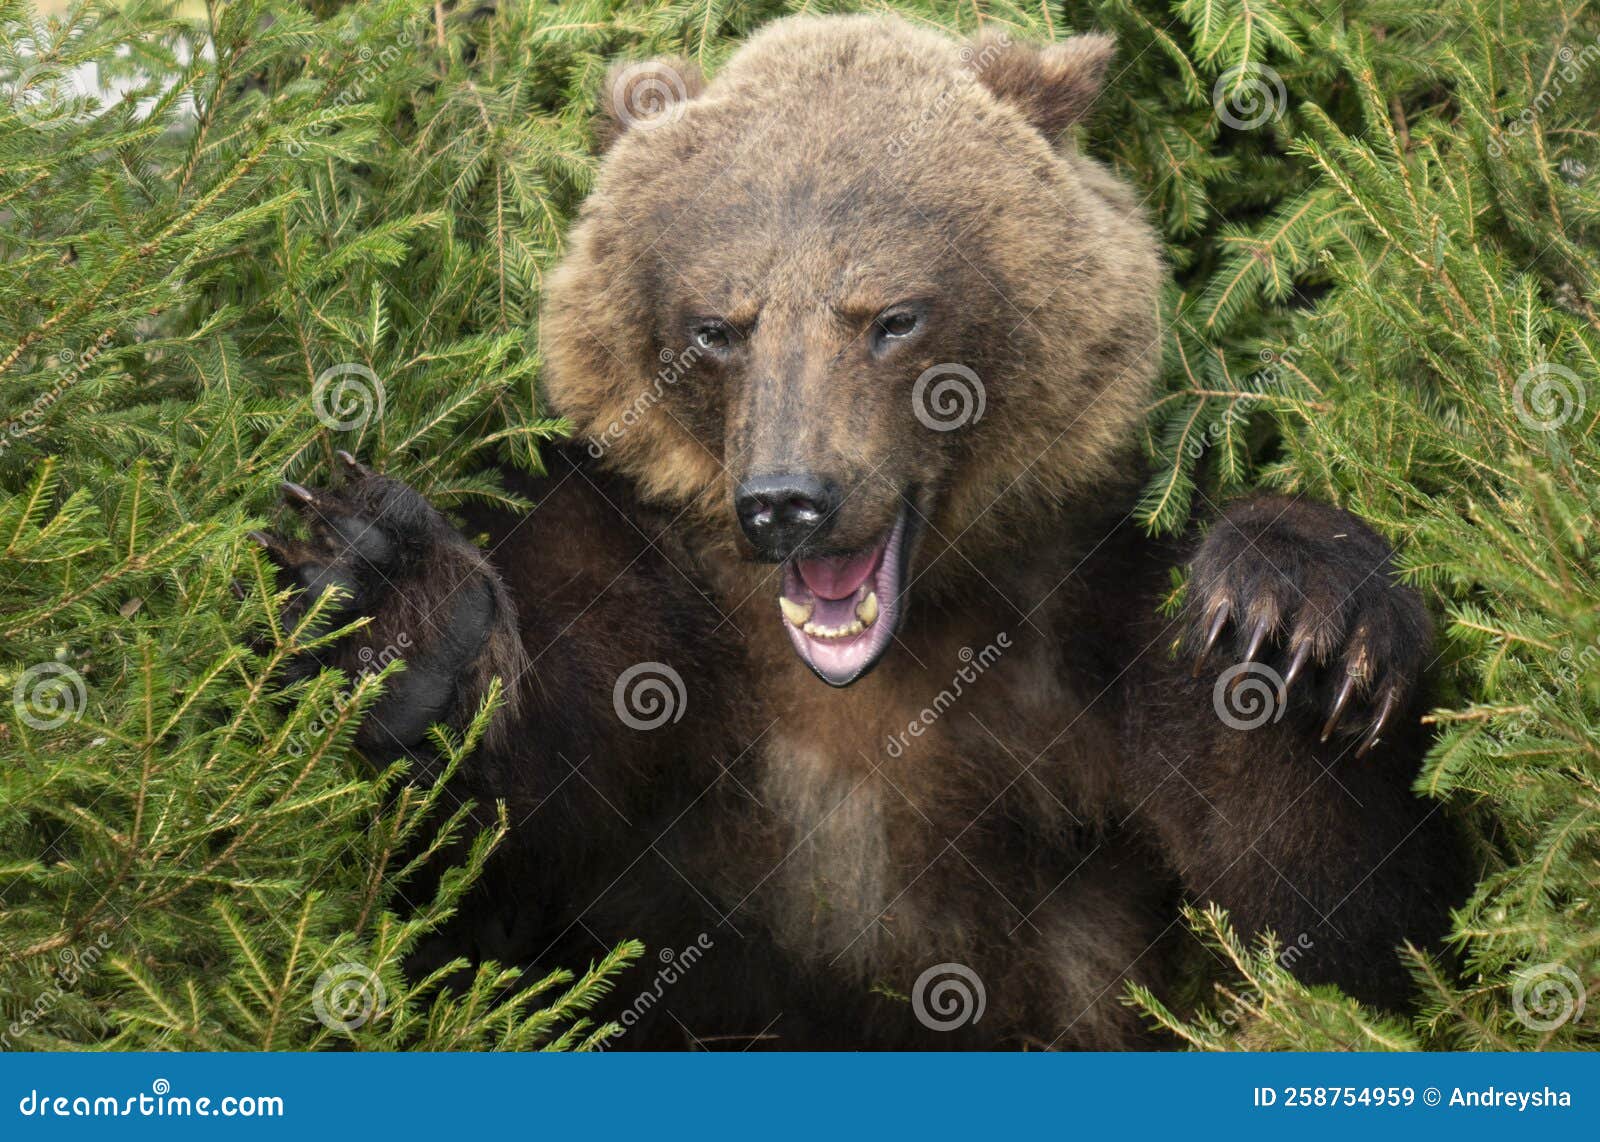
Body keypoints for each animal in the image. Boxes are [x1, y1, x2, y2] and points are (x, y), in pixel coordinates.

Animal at [255, 14, 1463, 1049]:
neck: (871, 675)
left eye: (893, 316)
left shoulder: (1088, 624)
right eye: (719, 324)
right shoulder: (643, 622)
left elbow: (1328, 922)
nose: (789, 499)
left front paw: (1292, 623)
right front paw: (384, 596)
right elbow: (457, 887)